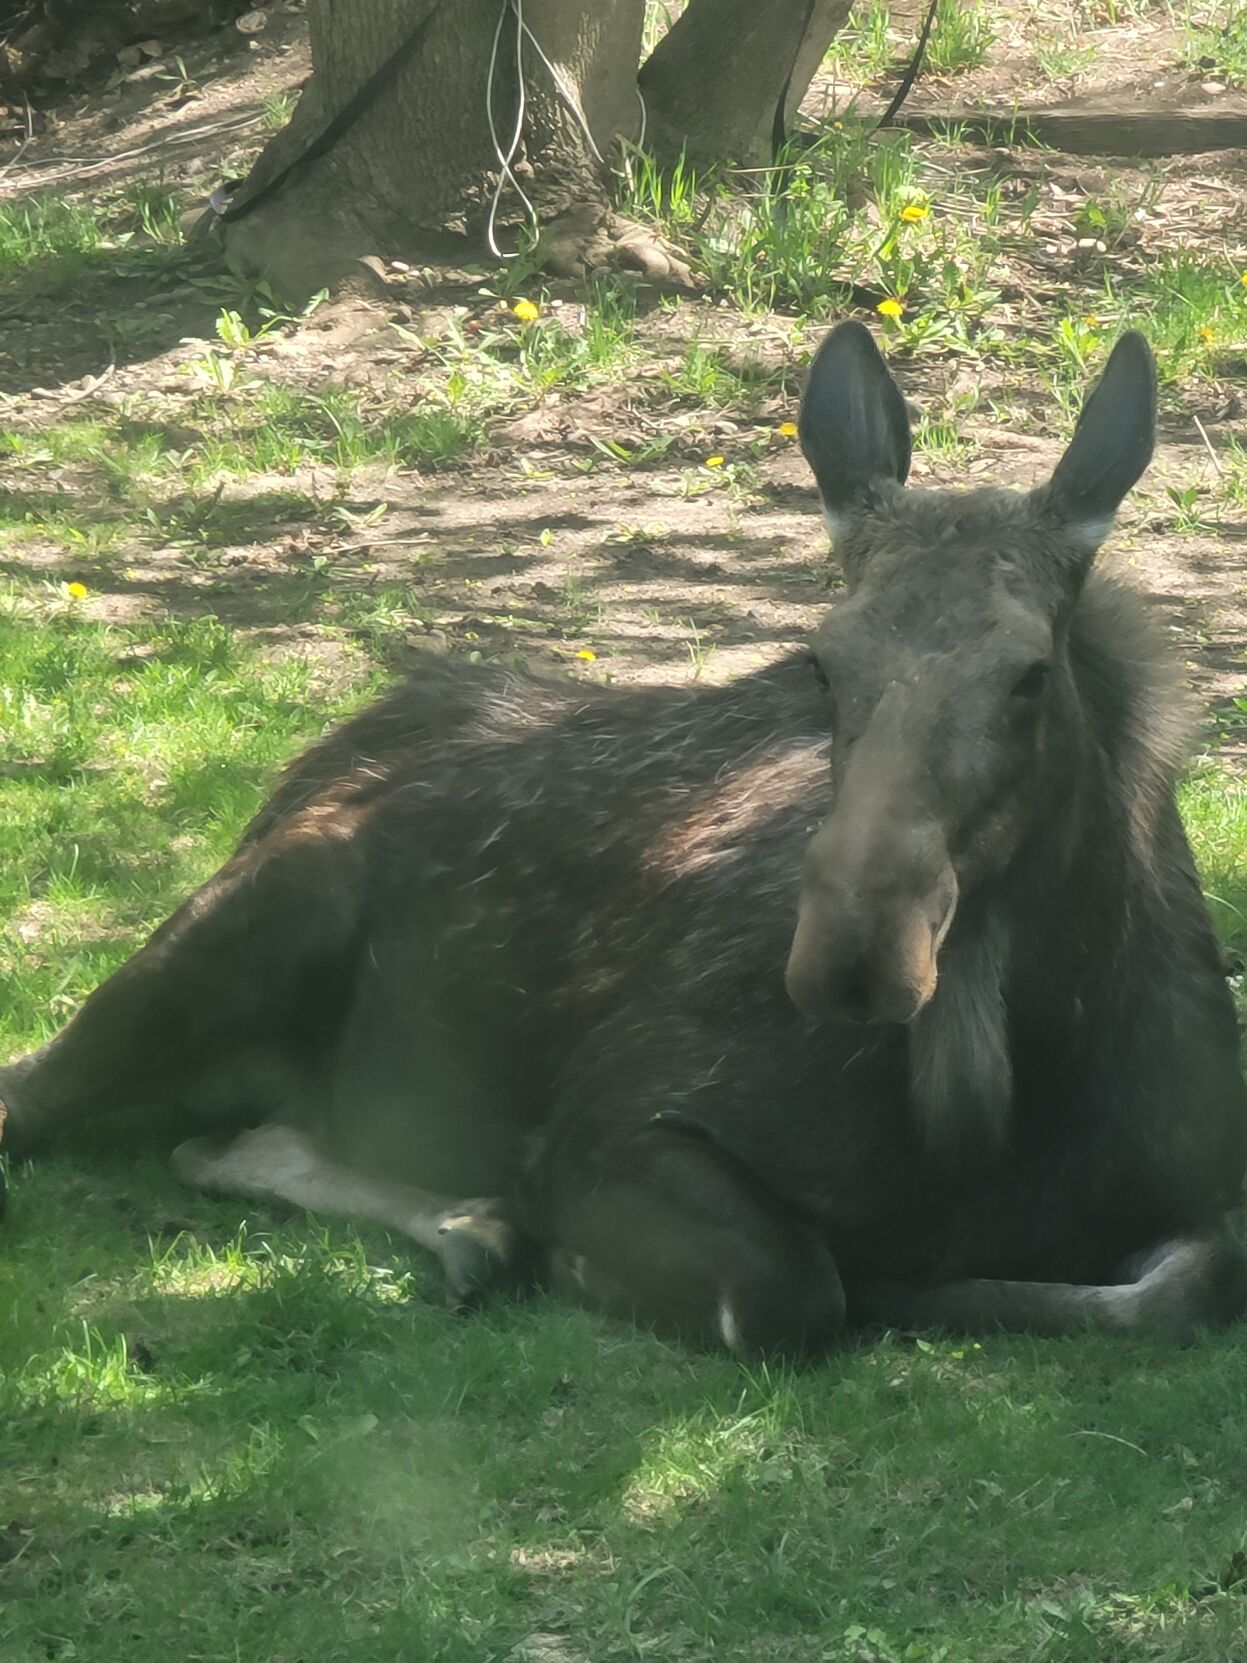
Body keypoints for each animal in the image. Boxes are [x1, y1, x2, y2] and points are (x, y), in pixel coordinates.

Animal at [2, 321, 1244, 1355]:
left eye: (1028, 673)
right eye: (818, 661)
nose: (852, 953)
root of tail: (330, 748)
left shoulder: (1200, 1194)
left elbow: (1177, 1286)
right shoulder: (609, 1126)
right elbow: (794, 1287)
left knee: (223, 1139)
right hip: (252, 915)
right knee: (53, 1102)